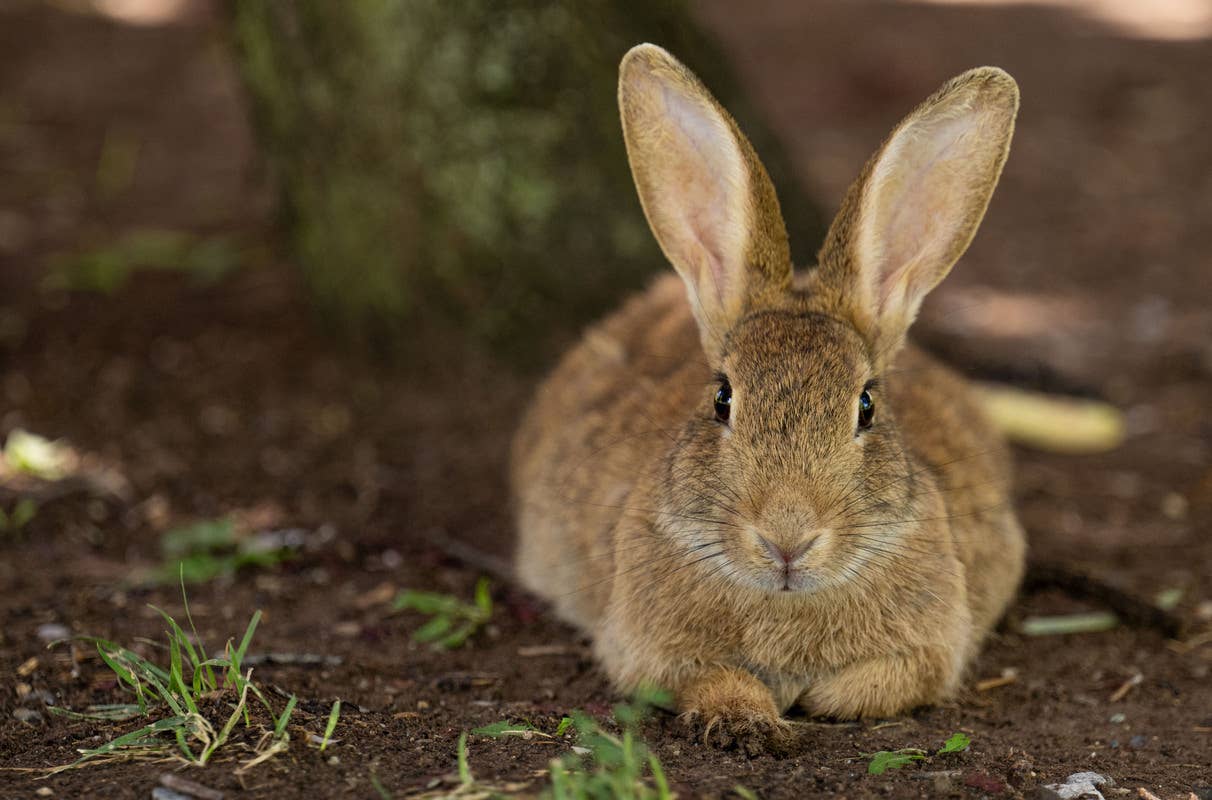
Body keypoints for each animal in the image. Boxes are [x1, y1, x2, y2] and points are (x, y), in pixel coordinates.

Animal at [511, 43, 1026, 750]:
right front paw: (746, 716)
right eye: (722, 399)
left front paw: (809, 698)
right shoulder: (648, 652)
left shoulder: (932, 648)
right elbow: (709, 679)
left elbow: (876, 684)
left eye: (866, 406)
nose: (787, 540)